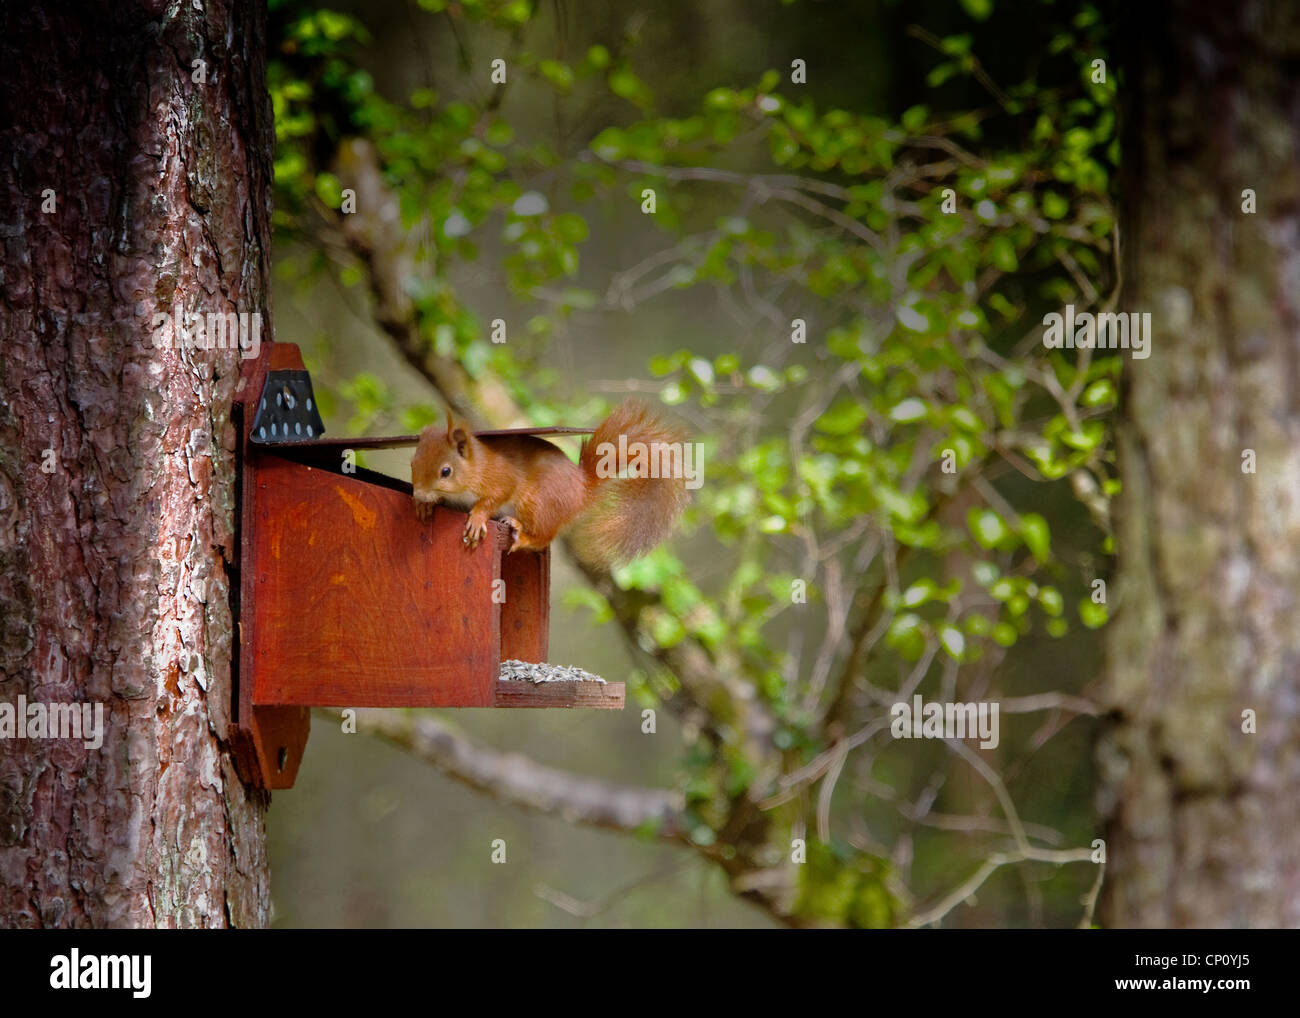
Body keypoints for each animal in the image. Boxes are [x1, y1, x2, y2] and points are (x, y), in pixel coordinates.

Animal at [411, 399, 689, 568]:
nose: (419, 493)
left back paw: (522, 534)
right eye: (413, 463)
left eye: (446, 471)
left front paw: (477, 518)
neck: (476, 465)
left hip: (536, 503)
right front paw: (425, 505)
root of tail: (581, 489)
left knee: (545, 537)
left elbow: (495, 496)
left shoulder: (499, 477)